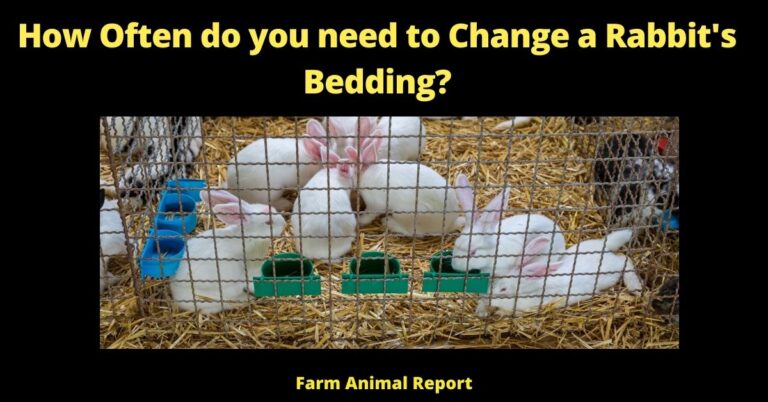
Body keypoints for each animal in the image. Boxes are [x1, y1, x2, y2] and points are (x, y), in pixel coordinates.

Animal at [484, 229, 643, 316]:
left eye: (503, 289)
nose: (487, 298)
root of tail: (605, 246)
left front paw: (499, 312)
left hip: (612, 270)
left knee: (625, 259)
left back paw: (635, 287)